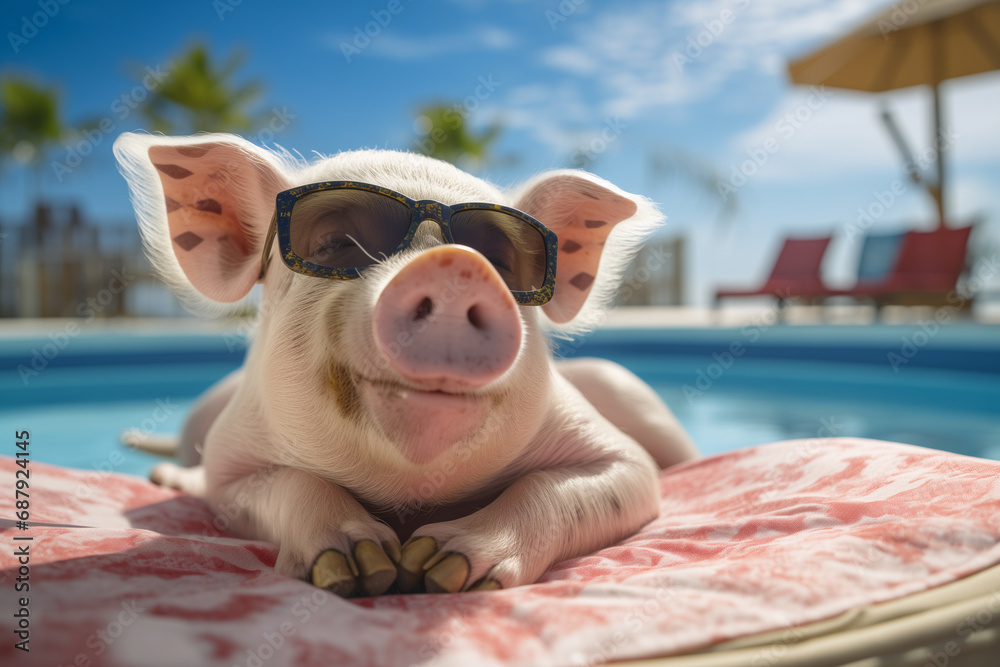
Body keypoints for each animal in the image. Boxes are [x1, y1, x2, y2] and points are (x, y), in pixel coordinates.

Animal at [114, 132, 697, 597]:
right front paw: (357, 568)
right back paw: (163, 474)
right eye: (336, 243)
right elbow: (280, 484)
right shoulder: (231, 464)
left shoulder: (613, 453)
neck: (409, 493)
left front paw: (438, 569)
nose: (454, 265)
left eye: (499, 261)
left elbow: (605, 479)